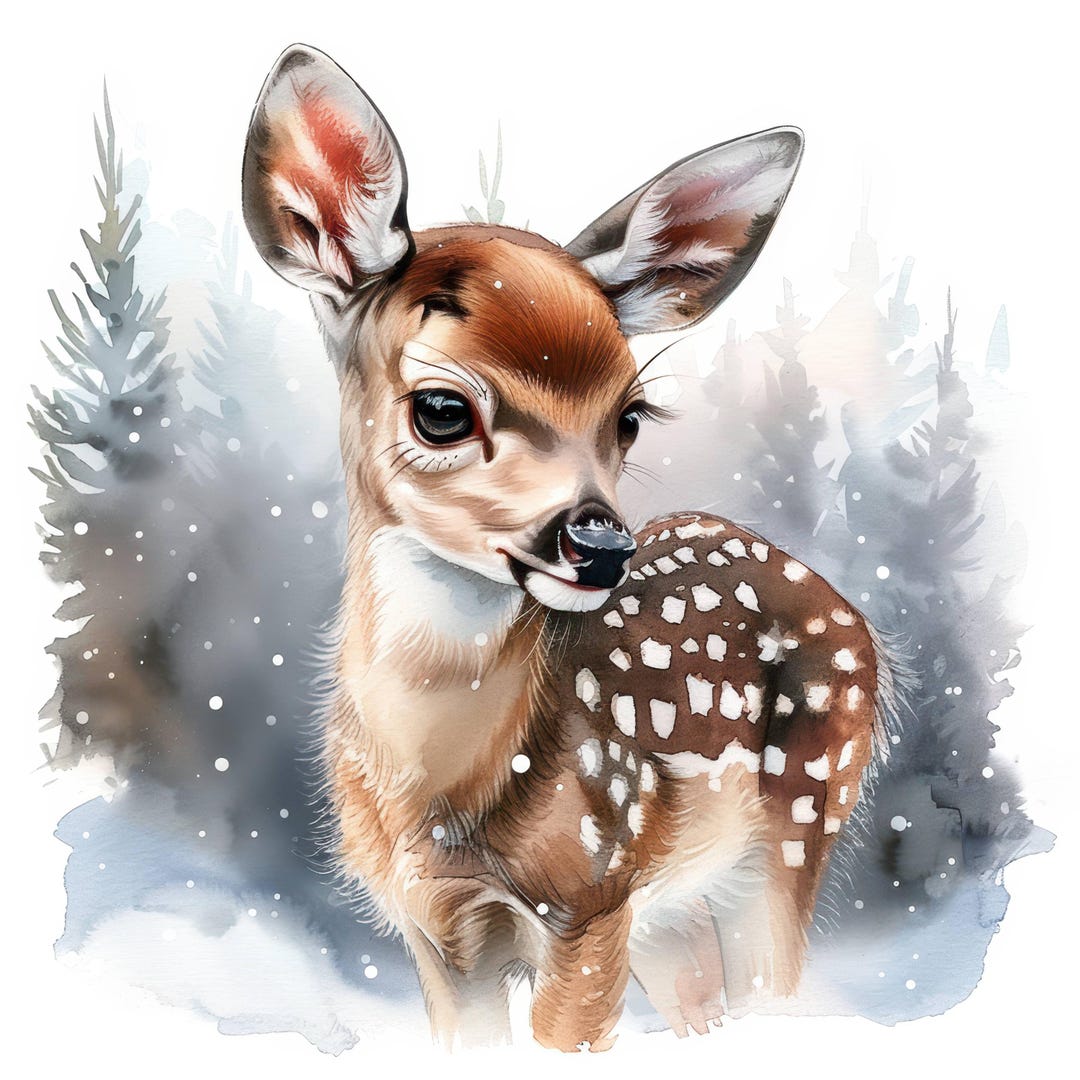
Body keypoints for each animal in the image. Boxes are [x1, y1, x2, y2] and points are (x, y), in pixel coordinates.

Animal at [241, 44, 894, 1052]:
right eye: (441, 409)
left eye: (629, 415)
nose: (598, 543)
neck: (439, 797)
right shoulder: (435, 923)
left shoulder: (588, 895)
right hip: (673, 905)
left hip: (798, 810)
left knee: (774, 981)